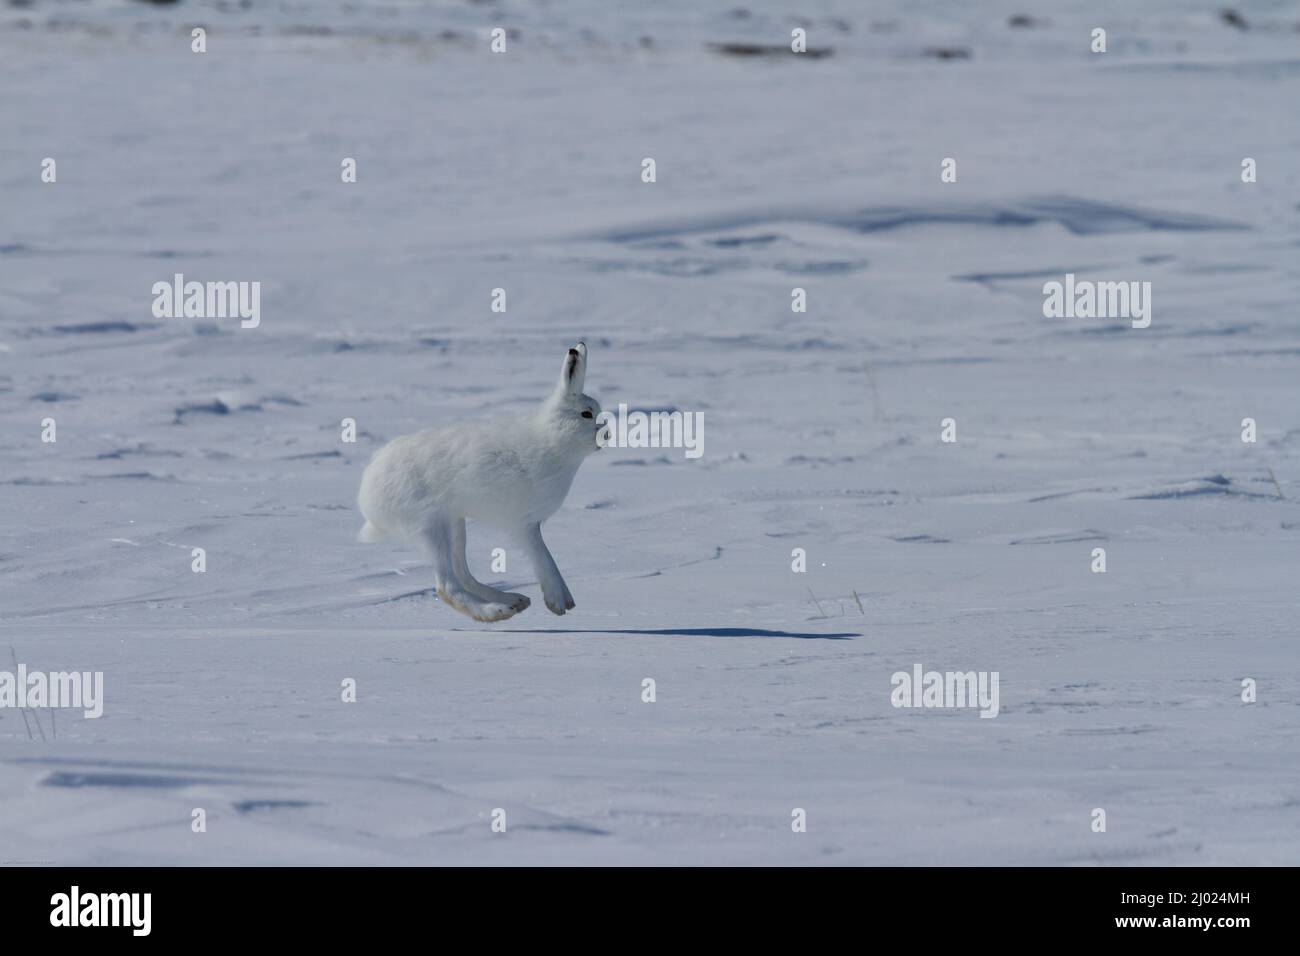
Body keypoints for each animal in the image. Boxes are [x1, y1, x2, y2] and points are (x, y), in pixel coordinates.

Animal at [357, 342, 602, 623]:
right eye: (586, 414)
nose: (606, 434)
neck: (552, 441)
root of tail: (368, 497)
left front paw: (564, 601)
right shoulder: (524, 524)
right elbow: (544, 558)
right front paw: (559, 603)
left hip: (455, 524)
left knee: (463, 574)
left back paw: (514, 601)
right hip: (429, 525)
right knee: (447, 586)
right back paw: (497, 611)